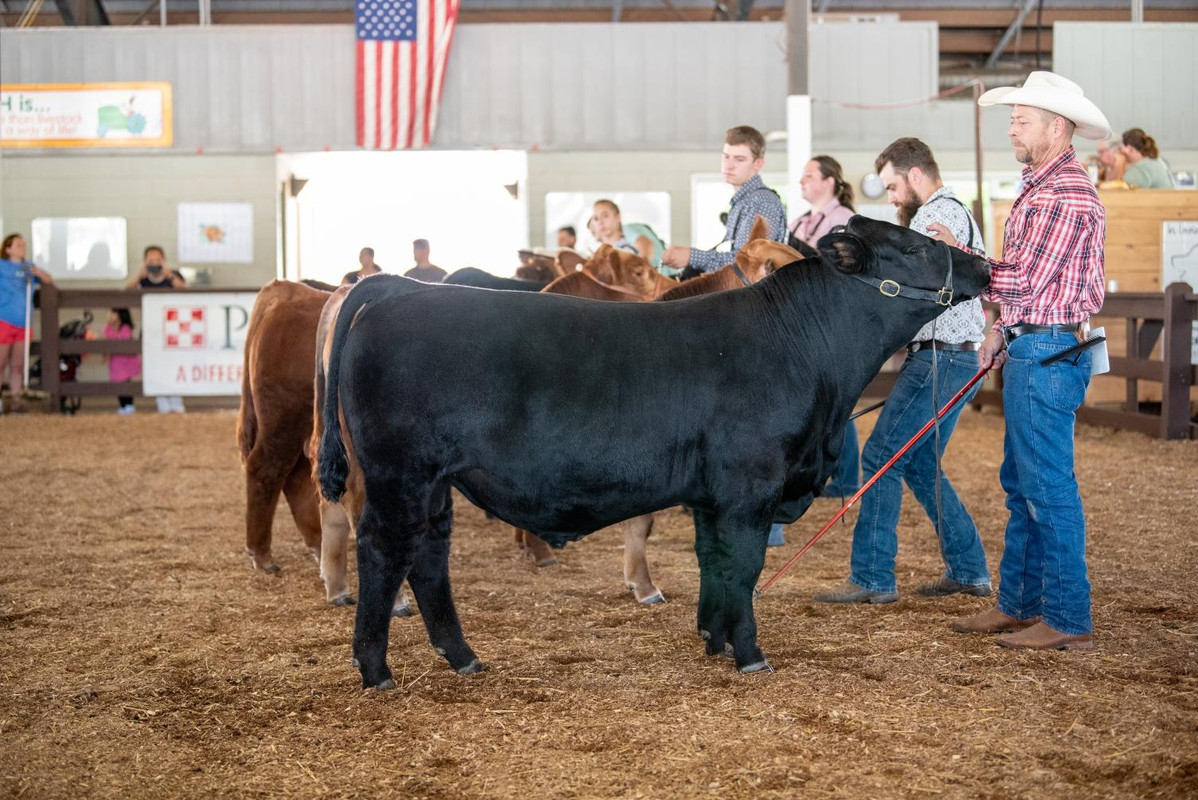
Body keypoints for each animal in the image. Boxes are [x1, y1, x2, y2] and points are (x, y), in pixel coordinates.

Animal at [317, 215, 990, 688]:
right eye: (917, 247)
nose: (985, 269)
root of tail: (392, 288)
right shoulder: (750, 486)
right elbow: (743, 567)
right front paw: (751, 655)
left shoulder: (713, 496)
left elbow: (715, 565)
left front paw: (714, 640)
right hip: (400, 473)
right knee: (384, 549)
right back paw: (376, 670)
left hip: (433, 484)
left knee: (429, 555)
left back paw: (462, 657)